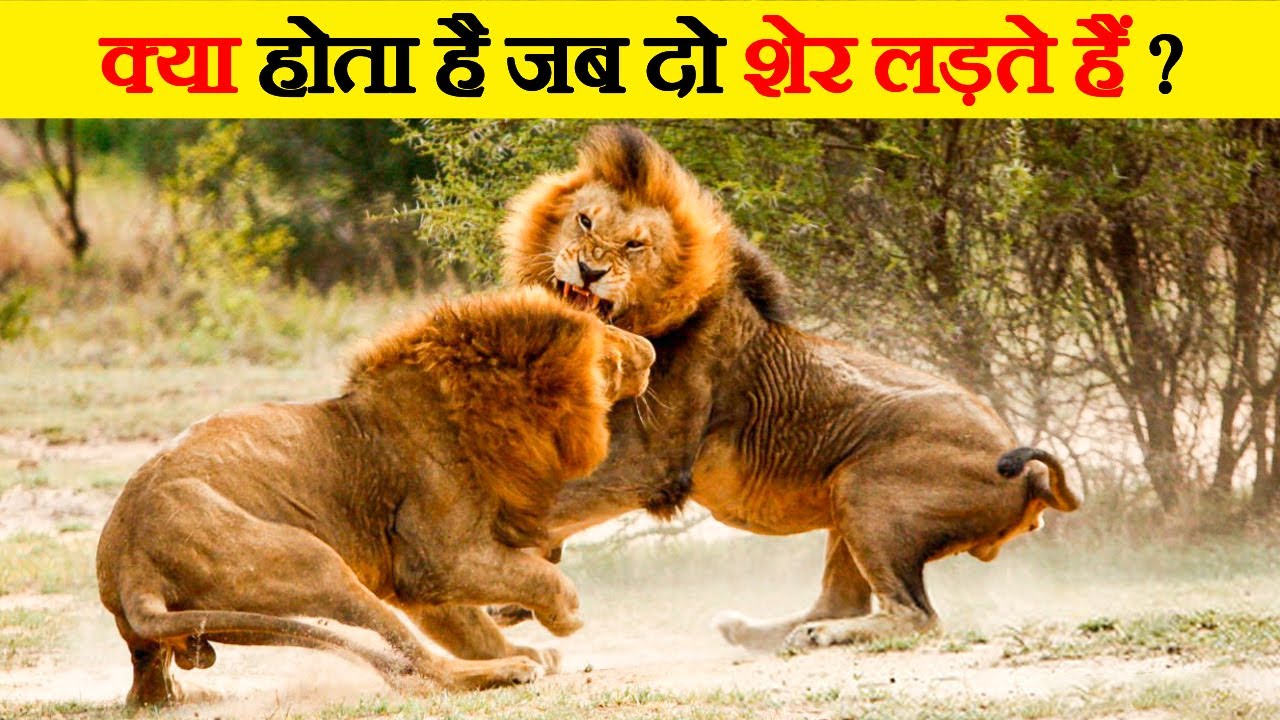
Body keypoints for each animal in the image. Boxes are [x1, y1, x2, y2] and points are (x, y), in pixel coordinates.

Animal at [95, 287, 655, 706]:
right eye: (610, 345)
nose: (650, 351)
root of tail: (131, 564)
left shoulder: (419, 579)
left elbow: (470, 624)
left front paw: (528, 647)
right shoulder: (436, 561)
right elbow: (538, 576)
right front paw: (564, 619)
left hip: (170, 637)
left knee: (146, 692)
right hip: (312, 563)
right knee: (416, 667)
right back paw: (507, 671)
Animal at [479, 125, 1082, 653]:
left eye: (634, 245)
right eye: (583, 221)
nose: (589, 269)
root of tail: (1029, 473)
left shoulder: (651, 463)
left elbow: (556, 504)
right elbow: (553, 506)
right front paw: (515, 596)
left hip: (866, 484)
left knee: (914, 615)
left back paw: (822, 637)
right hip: (849, 497)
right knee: (843, 601)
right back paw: (756, 631)